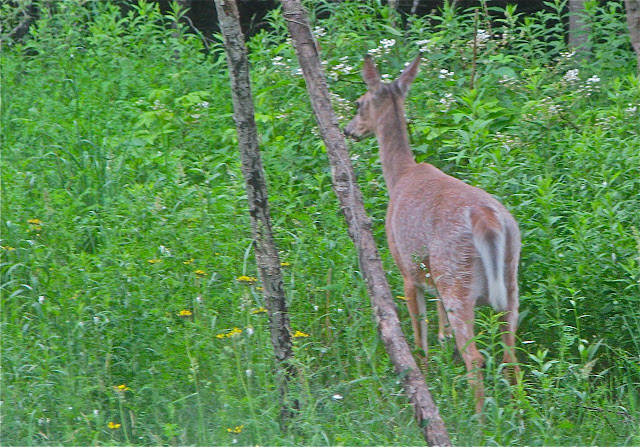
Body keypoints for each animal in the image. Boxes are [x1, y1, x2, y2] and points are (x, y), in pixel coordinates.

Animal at [344, 54, 521, 414]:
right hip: (510, 283)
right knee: (511, 356)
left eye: (358, 103)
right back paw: (520, 413)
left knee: (475, 358)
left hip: (457, 279)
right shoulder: (432, 276)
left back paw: (479, 420)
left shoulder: (406, 268)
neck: (400, 176)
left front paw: (423, 375)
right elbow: (439, 331)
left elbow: (418, 334)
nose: (348, 130)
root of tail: (488, 220)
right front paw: (442, 353)